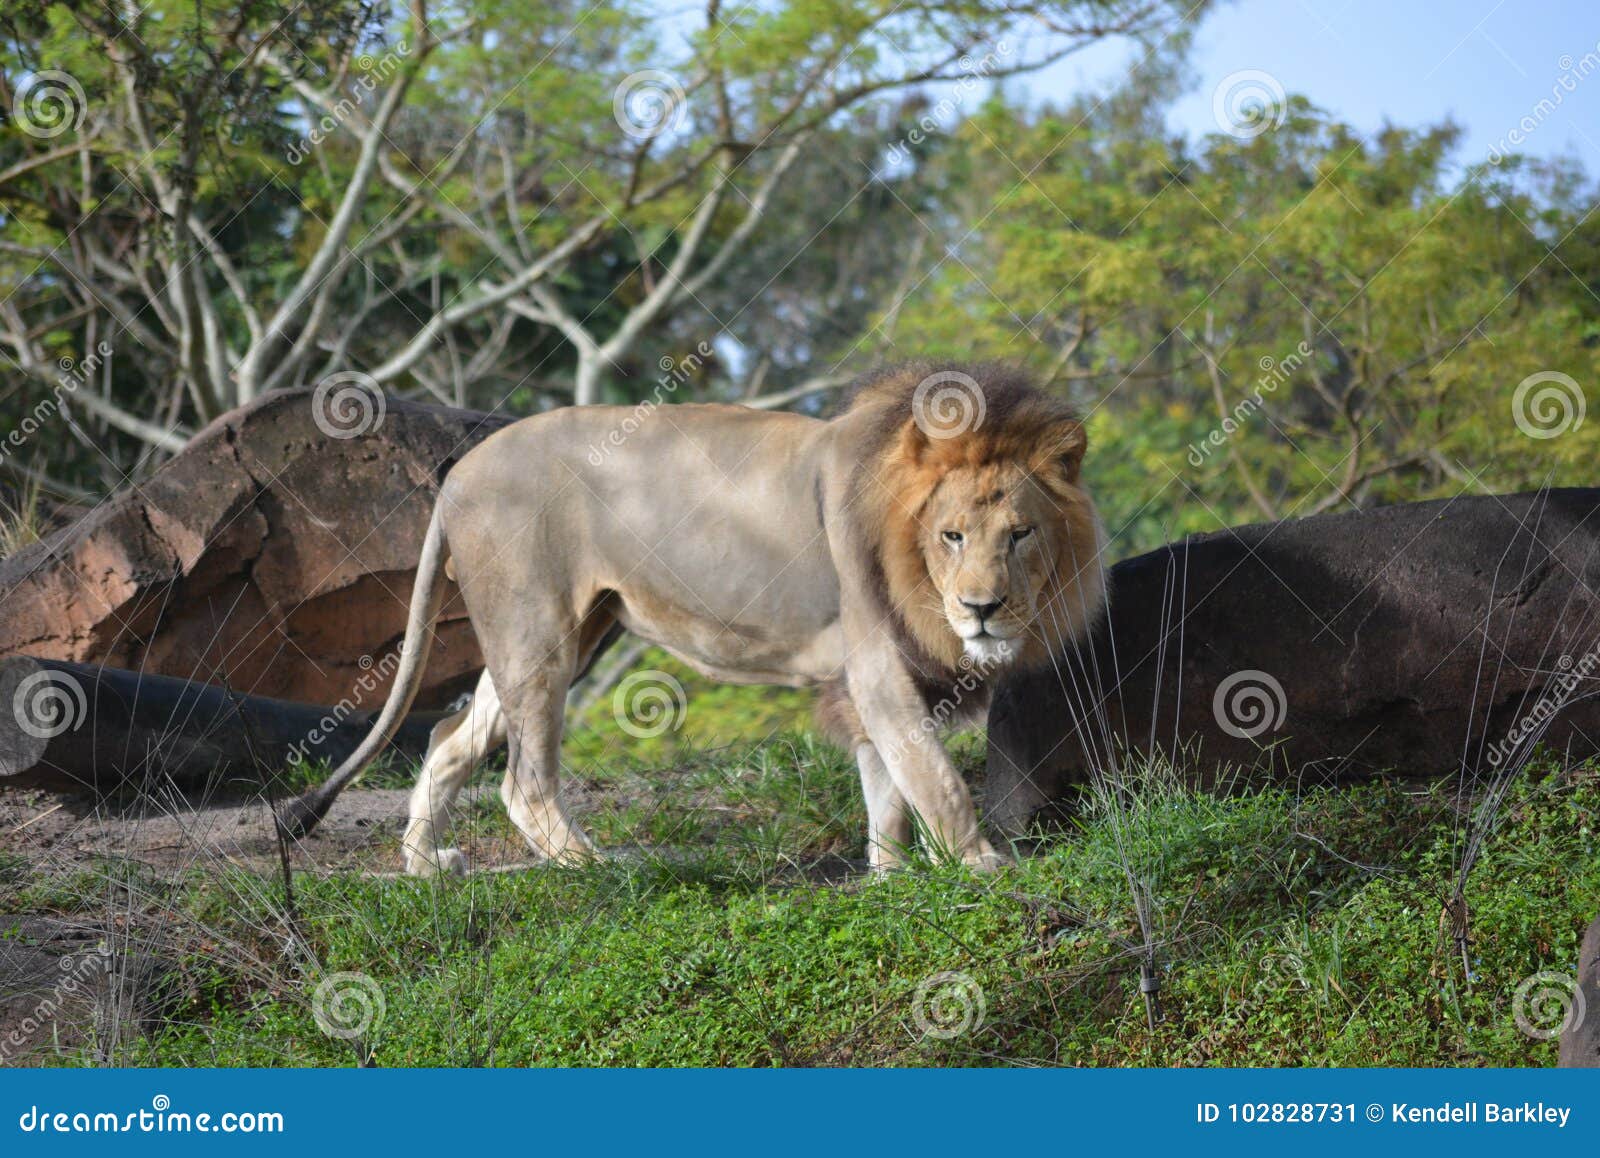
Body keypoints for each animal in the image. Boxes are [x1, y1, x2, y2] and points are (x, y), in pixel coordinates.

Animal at [280, 363, 1106, 875]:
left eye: (1020, 535)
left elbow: (888, 786)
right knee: (522, 779)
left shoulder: (866, 679)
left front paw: (891, 873)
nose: (982, 608)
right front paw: (982, 867)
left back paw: (426, 865)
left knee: (452, 735)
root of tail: (456, 476)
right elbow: (934, 777)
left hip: (569, 631)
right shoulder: (877, 664)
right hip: (536, 627)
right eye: (952, 536)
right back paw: (595, 867)